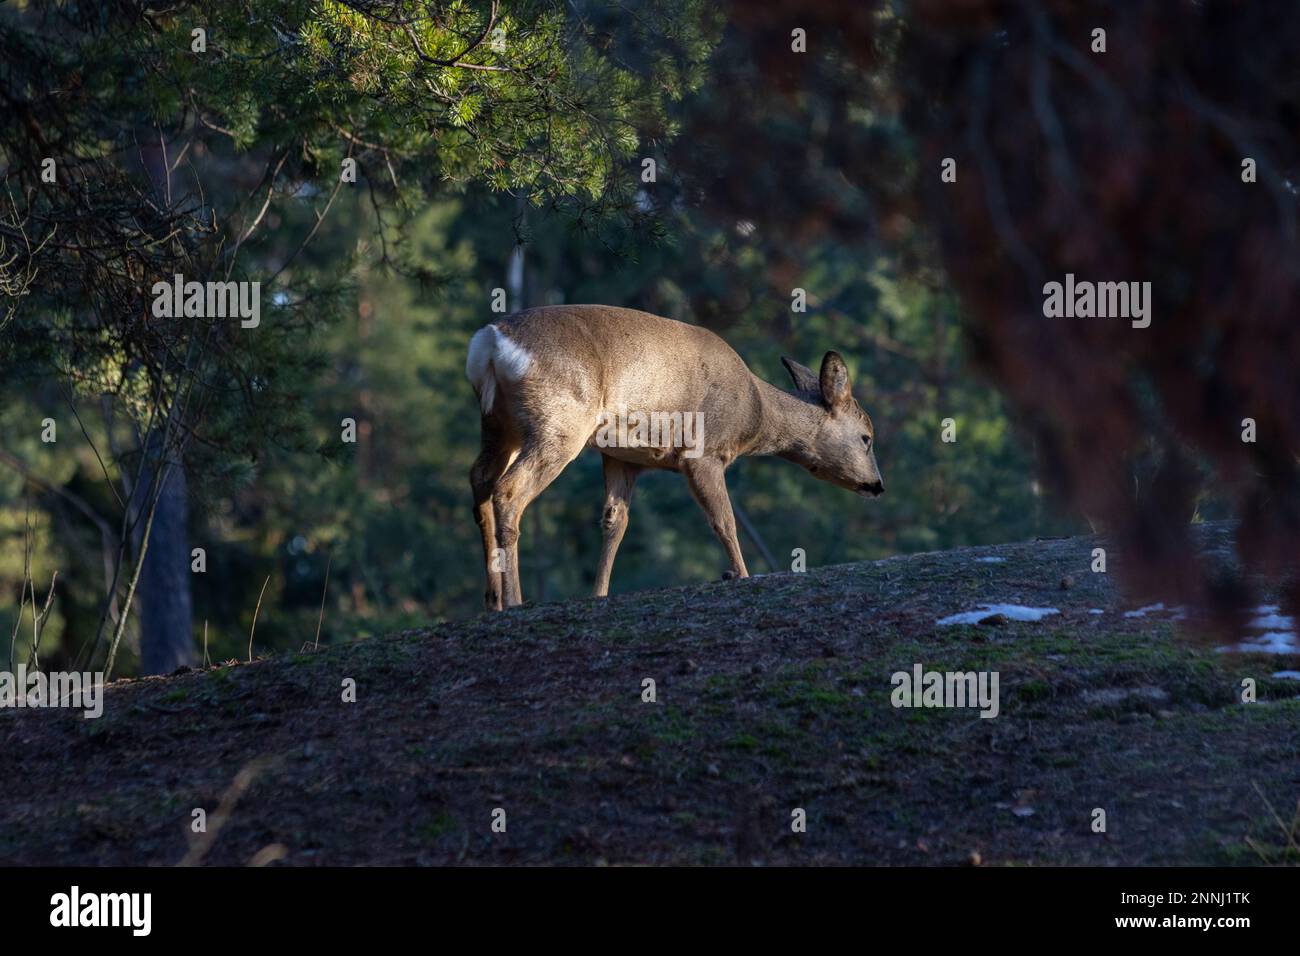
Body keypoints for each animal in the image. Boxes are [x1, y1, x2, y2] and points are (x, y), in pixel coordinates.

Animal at [466, 305, 884, 610]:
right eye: (866, 437)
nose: (877, 485)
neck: (754, 414)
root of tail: (488, 343)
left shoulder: (624, 457)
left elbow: (614, 523)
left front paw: (598, 593)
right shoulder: (703, 451)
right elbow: (724, 520)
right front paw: (741, 574)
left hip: (499, 424)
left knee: (480, 478)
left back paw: (493, 600)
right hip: (559, 423)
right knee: (509, 490)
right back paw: (514, 600)